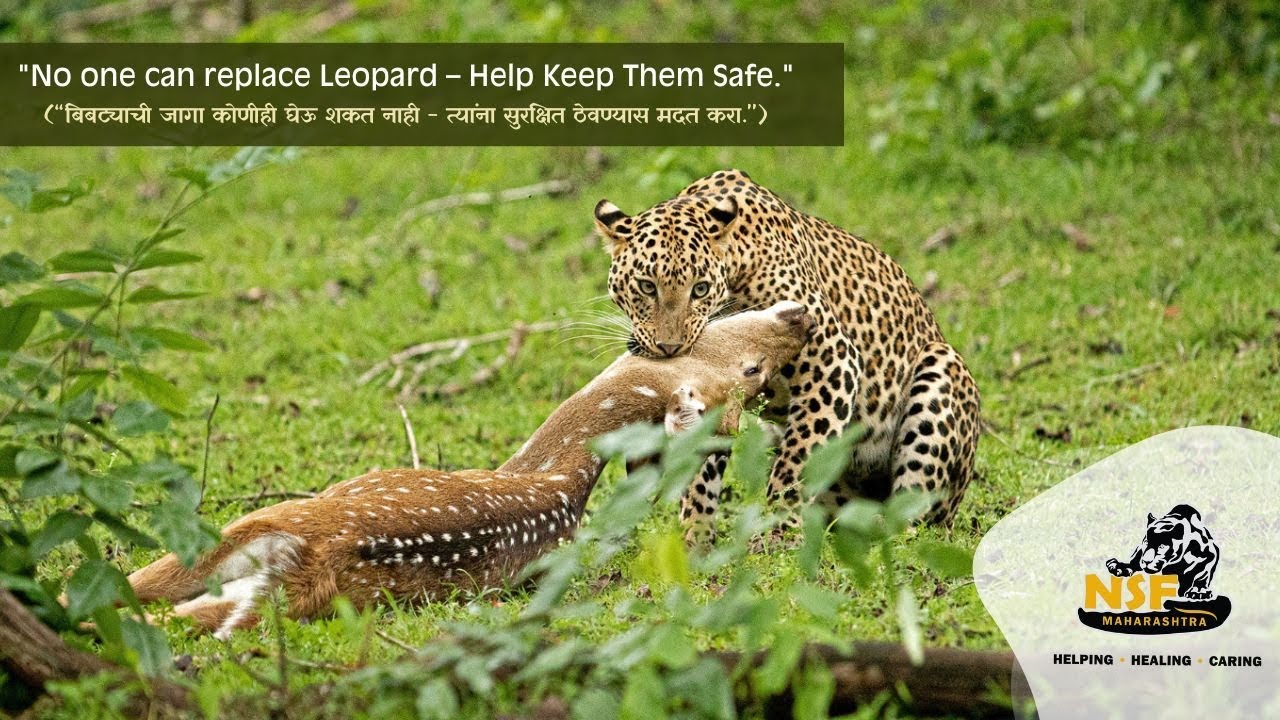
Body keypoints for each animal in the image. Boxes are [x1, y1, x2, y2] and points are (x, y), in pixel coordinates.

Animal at [593, 169, 981, 542]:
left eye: (699, 289)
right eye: (647, 286)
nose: (670, 347)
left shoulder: (833, 361)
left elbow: (799, 459)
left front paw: (776, 535)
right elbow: (699, 473)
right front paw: (694, 543)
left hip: (939, 371)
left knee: (915, 523)